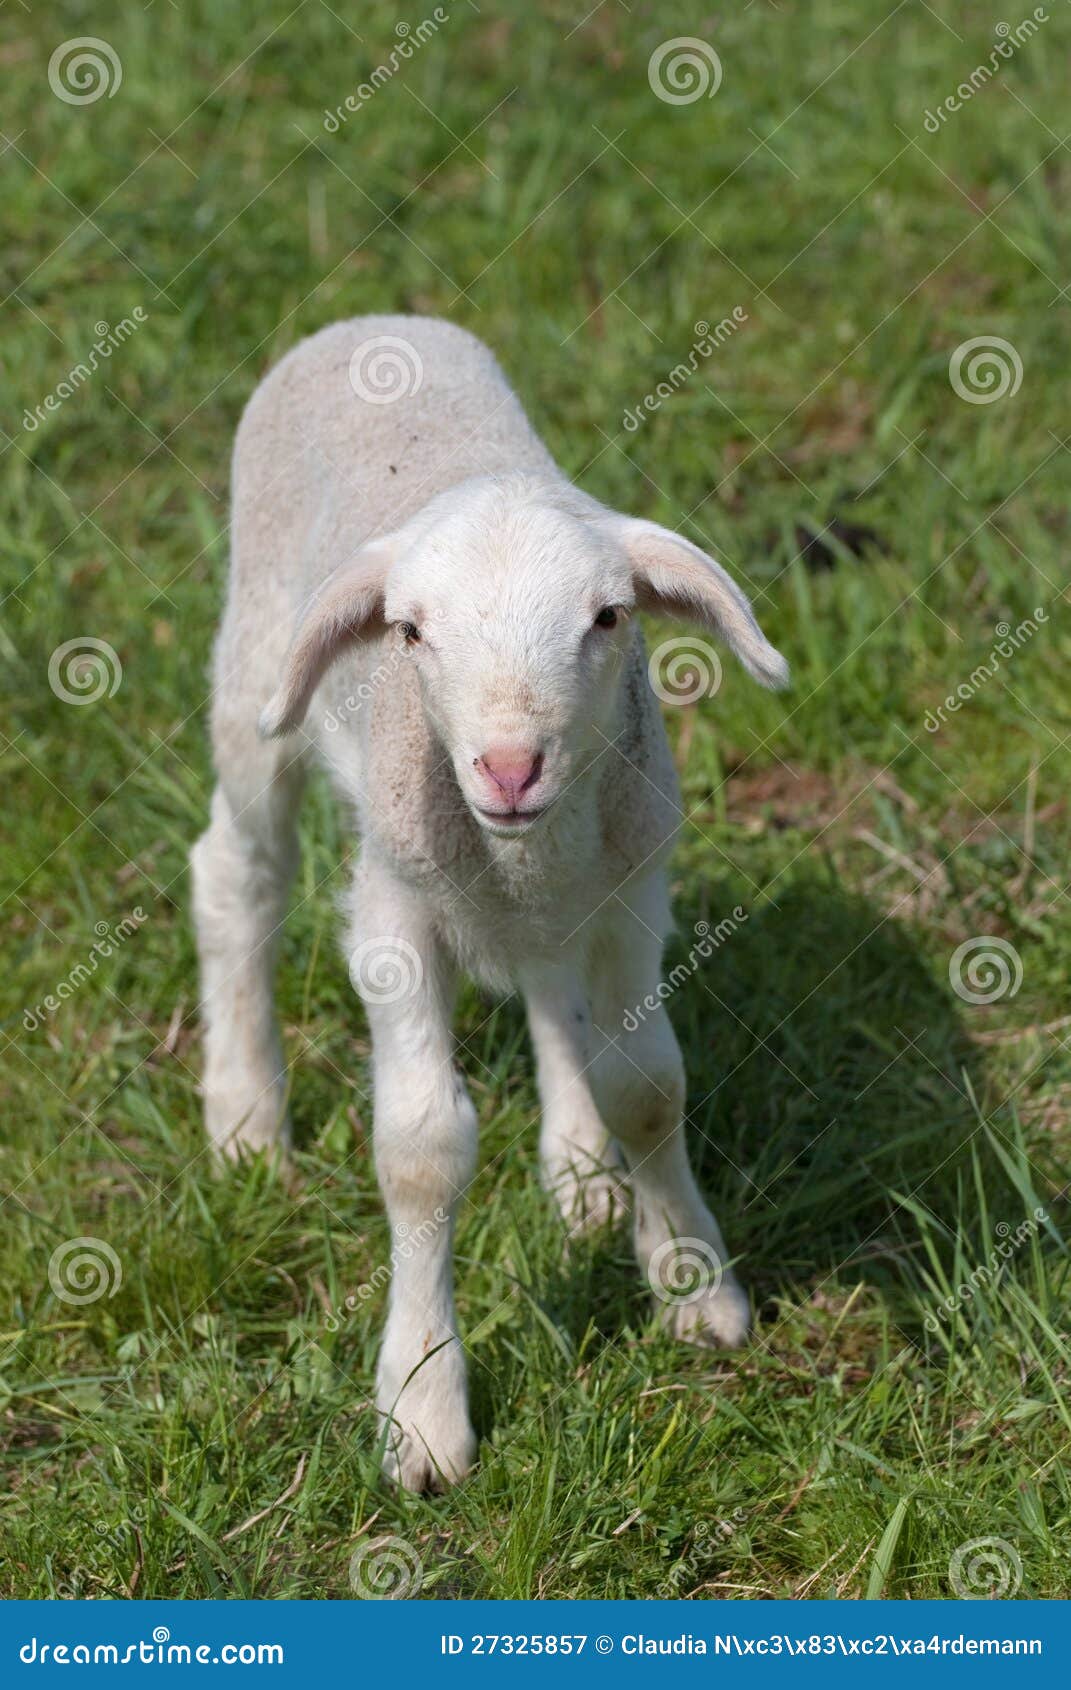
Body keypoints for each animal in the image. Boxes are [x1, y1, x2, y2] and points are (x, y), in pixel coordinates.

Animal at [191, 314, 788, 1493]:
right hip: (256, 681)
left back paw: (582, 1169)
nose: (510, 767)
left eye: (608, 616)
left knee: (550, 980)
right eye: (412, 632)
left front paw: (691, 1280)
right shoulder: (392, 912)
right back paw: (243, 1115)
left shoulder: (632, 891)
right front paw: (422, 1407)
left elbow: (648, 1085)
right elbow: (422, 1149)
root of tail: (376, 322)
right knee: (233, 875)